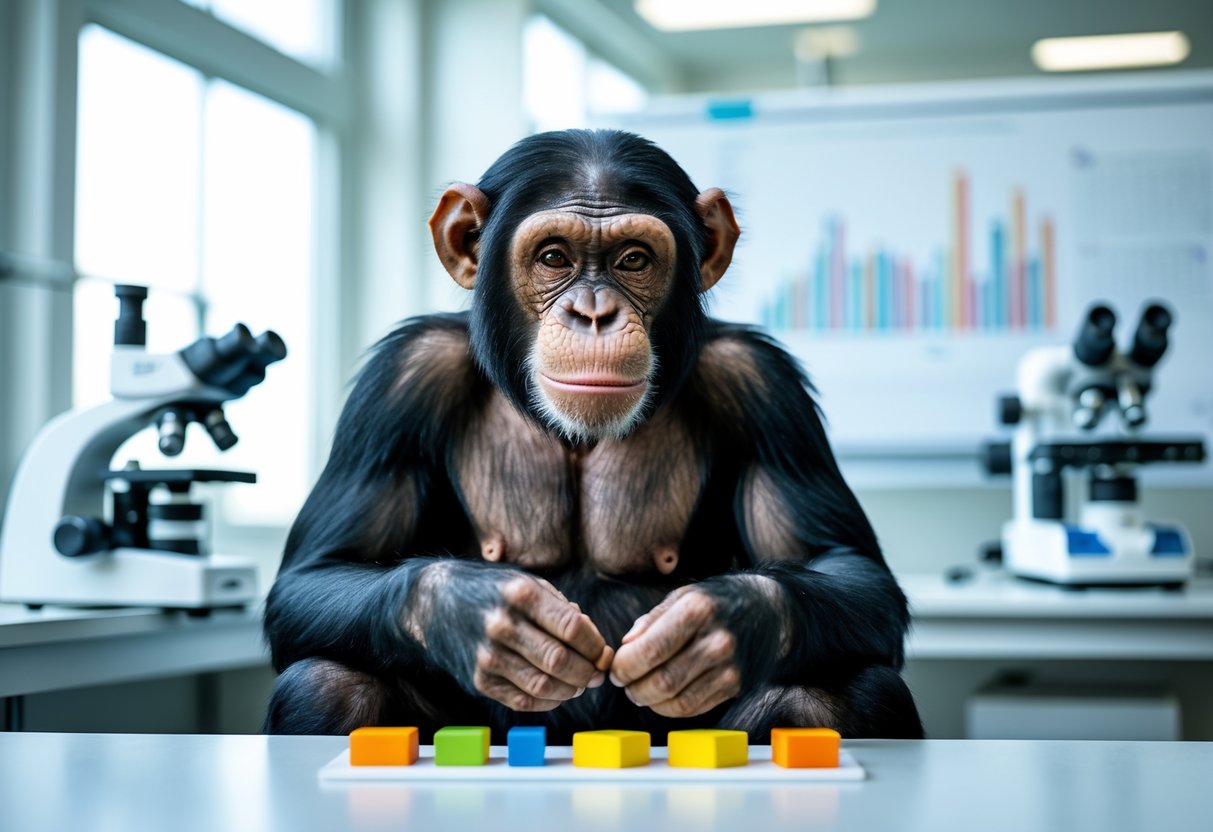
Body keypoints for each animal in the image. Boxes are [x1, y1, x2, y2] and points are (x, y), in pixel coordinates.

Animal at [262, 129, 923, 743]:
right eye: (555, 257)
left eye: (634, 259)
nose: (595, 312)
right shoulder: (396, 386)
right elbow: (319, 570)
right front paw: (469, 614)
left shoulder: (767, 391)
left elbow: (847, 567)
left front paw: (728, 623)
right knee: (329, 681)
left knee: (838, 692)